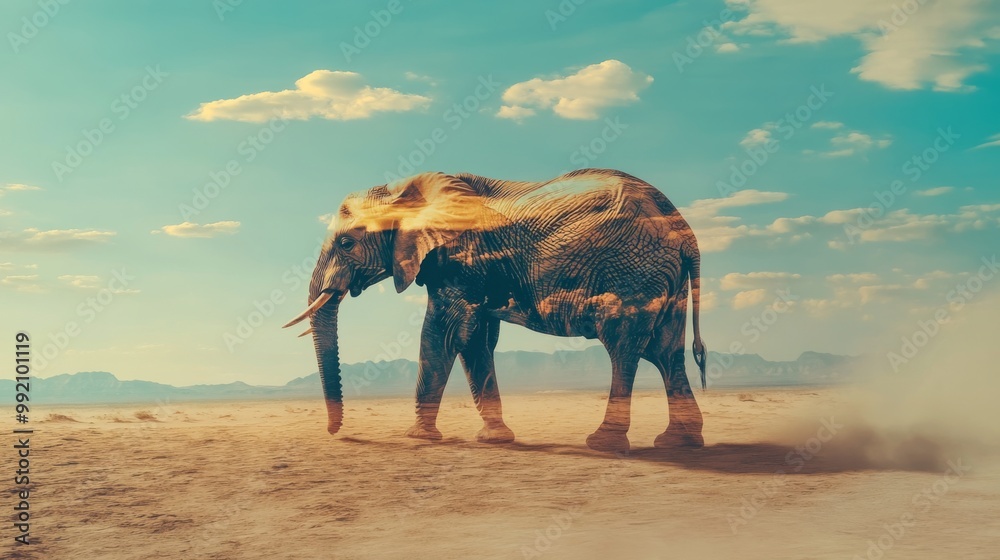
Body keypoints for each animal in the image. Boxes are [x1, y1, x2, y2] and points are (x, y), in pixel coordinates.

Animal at [284, 168, 707, 452]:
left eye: (346, 243)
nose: (336, 434)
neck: (405, 190)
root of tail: (686, 231)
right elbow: (476, 340)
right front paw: (494, 438)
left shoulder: (461, 260)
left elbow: (442, 332)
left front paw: (419, 437)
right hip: (663, 279)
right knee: (666, 352)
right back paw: (678, 442)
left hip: (631, 272)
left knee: (625, 347)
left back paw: (604, 443)